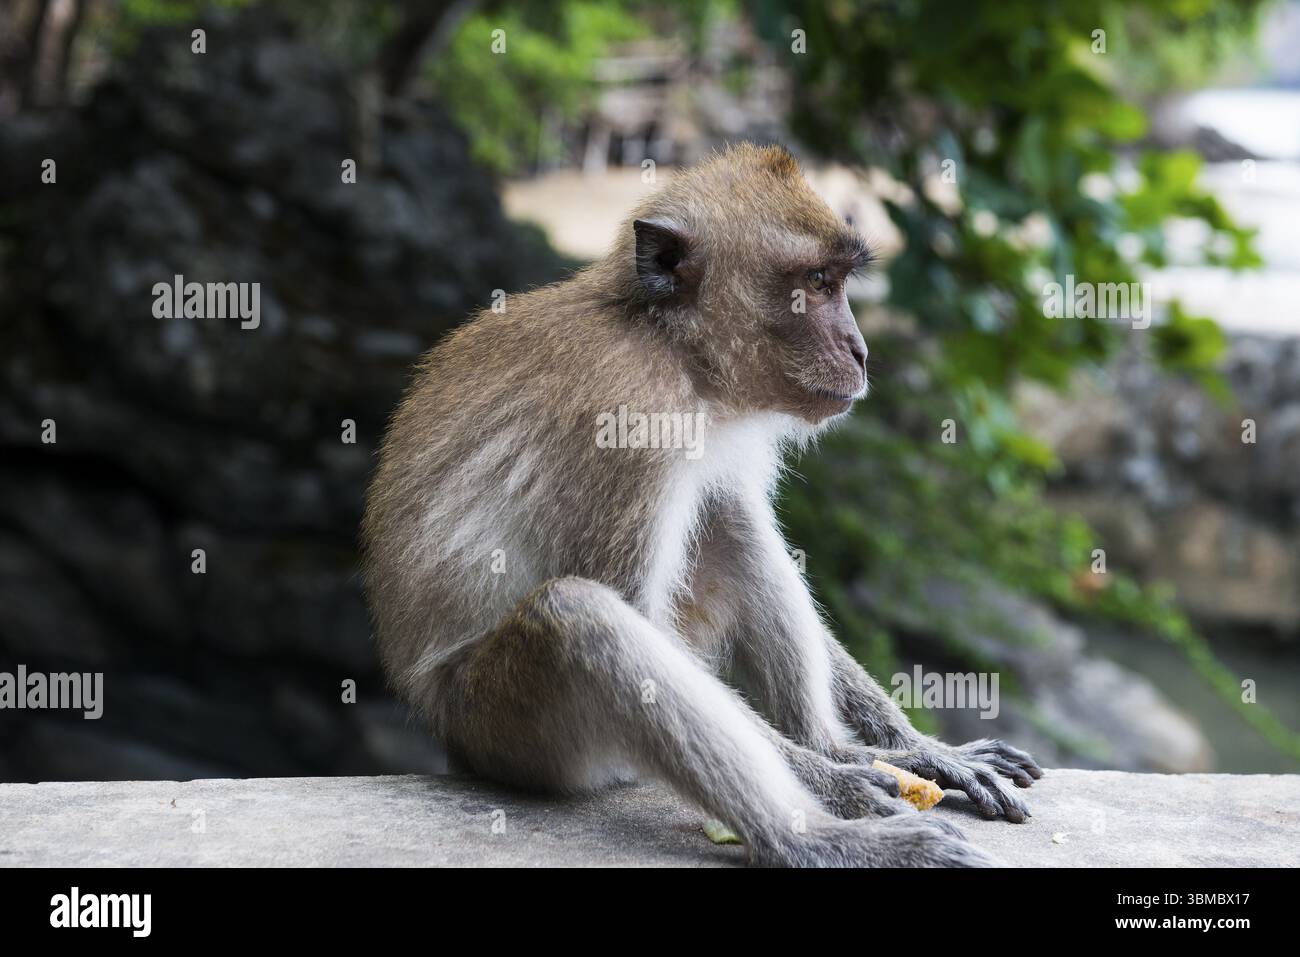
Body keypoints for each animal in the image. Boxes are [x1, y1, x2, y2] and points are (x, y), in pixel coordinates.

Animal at [361, 143, 1042, 867]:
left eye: (839, 282)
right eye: (816, 282)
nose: (861, 351)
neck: (674, 348)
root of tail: (444, 731)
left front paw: (918, 749)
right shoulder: (628, 414)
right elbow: (637, 614)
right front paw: (840, 787)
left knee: (729, 518)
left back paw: (830, 748)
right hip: (498, 727)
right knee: (577, 618)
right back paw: (815, 837)